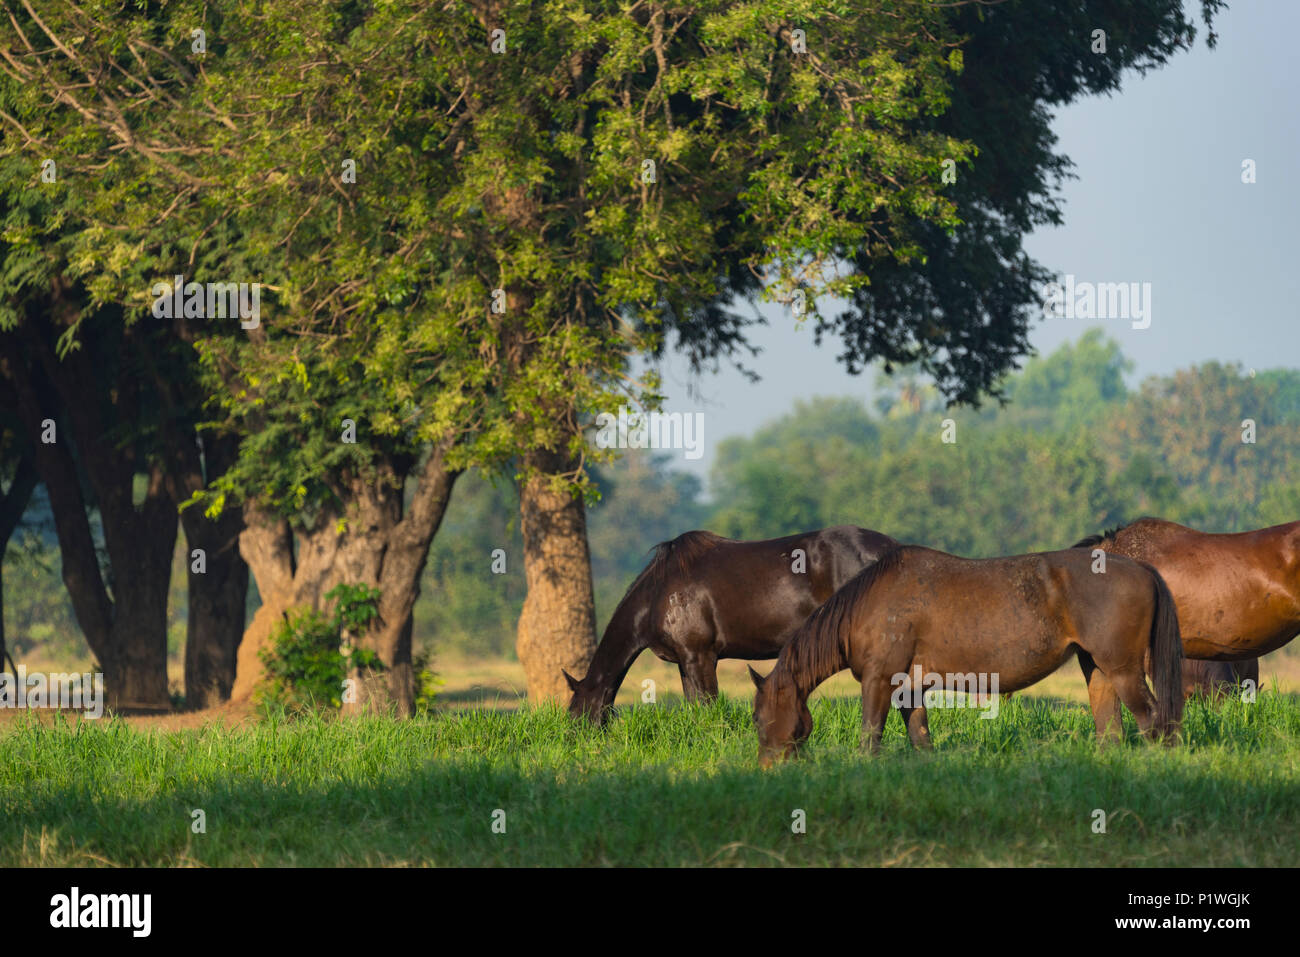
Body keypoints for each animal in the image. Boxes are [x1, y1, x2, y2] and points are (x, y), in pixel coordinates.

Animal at [564, 525, 898, 723]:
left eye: (576, 715)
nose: (575, 745)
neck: (660, 593)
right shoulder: (686, 662)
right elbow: (695, 707)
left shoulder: (700, 657)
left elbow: (709, 707)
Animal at [750, 545, 1184, 765]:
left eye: (757, 718)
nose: (768, 769)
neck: (870, 604)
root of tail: (1141, 567)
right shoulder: (910, 690)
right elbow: (921, 739)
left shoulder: (879, 681)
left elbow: (869, 735)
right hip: (1097, 668)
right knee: (1111, 727)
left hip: (1123, 669)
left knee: (1151, 719)